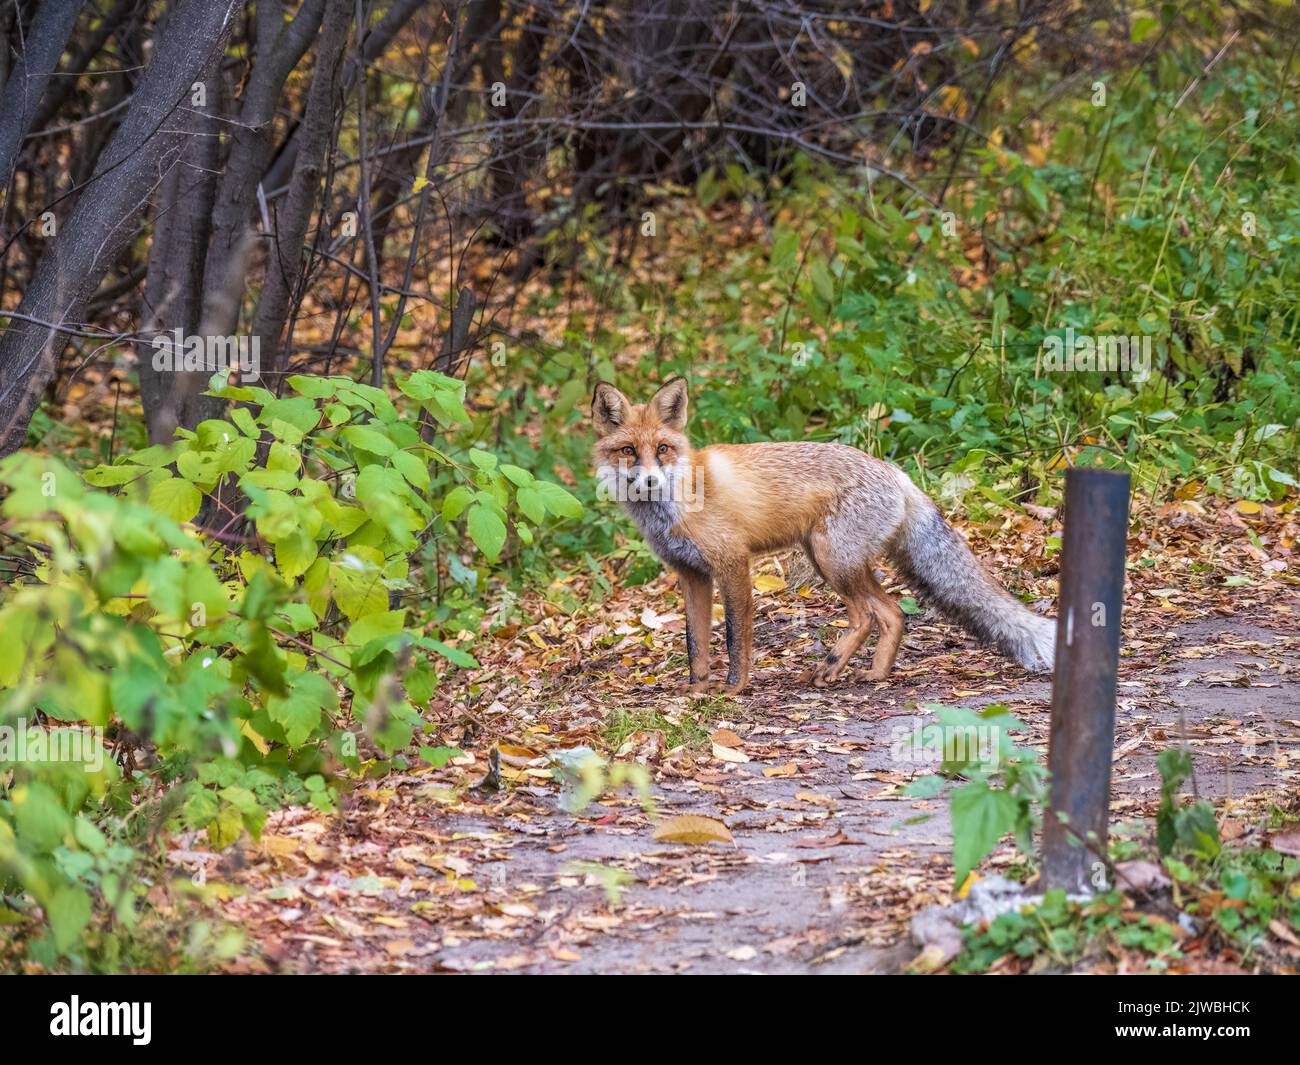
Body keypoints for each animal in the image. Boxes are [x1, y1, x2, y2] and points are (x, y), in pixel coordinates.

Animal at [591, 377, 1056, 695]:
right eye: (628, 451)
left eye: (663, 449)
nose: (650, 481)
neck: (676, 503)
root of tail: (899, 474)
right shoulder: (691, 575)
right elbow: (695, 643)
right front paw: (696, 690)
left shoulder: (732, 564)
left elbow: (735, 638)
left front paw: (734, 689)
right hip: (830, 560)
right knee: (893, 613)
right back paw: (875, 673)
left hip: (832, 561)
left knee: (868, 615)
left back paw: (831, 666)